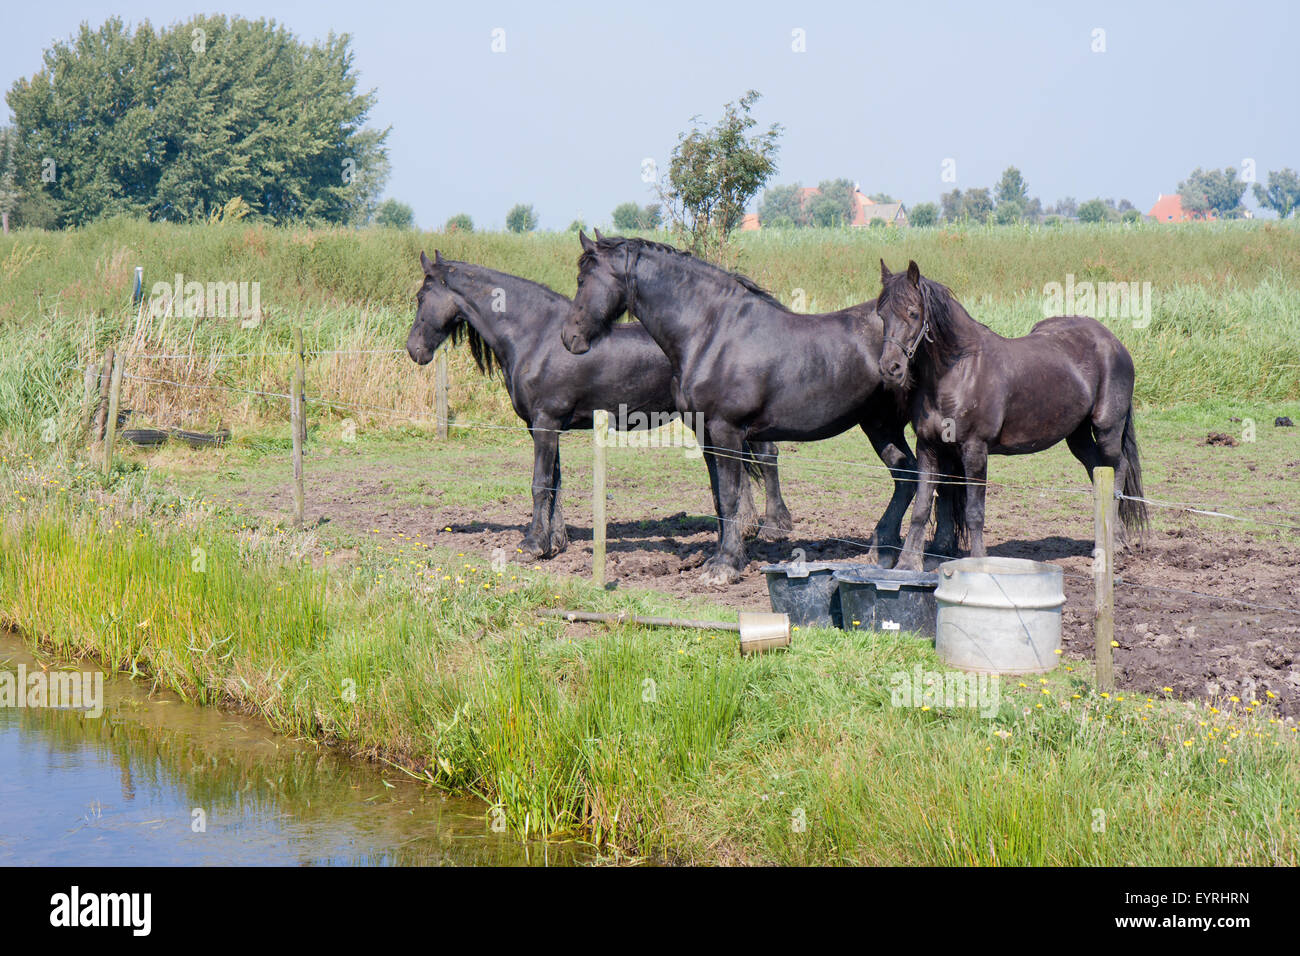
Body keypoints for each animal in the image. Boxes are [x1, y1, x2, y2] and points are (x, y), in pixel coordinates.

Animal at [407, 250, 792, 562]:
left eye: (421, 296)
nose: (414, 349)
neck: (535, 335)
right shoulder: (542, 426)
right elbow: (555, 482)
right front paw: (555, 541)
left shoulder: (545, 422)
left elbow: (540, 482)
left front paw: (533, 545)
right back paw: (746, 528)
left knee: (766, 457)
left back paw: (772, 527)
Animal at [559, 232, 920, 586]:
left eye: (581, 279)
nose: (569, 337)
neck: (712, 333)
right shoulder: (705, 434)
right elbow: (720, 498)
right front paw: (721, 556)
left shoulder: (726, 431)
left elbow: (732, 496)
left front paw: (726, 565)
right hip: (879, 425)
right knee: (906, 475)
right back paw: (882, 550)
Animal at [875, 259, 1147, 571]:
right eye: (881, 315)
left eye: (913, 312)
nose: (890, 368)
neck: (958, 371)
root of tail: (1113, 342)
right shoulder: (928, 447)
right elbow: (921, 507)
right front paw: (907, 565)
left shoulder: (975, 449)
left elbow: (974, 512)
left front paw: (978, 564)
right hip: (1076, 436)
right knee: (1096, 472)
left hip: (1107, 428)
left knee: (1118, 469)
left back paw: (1114, 543)